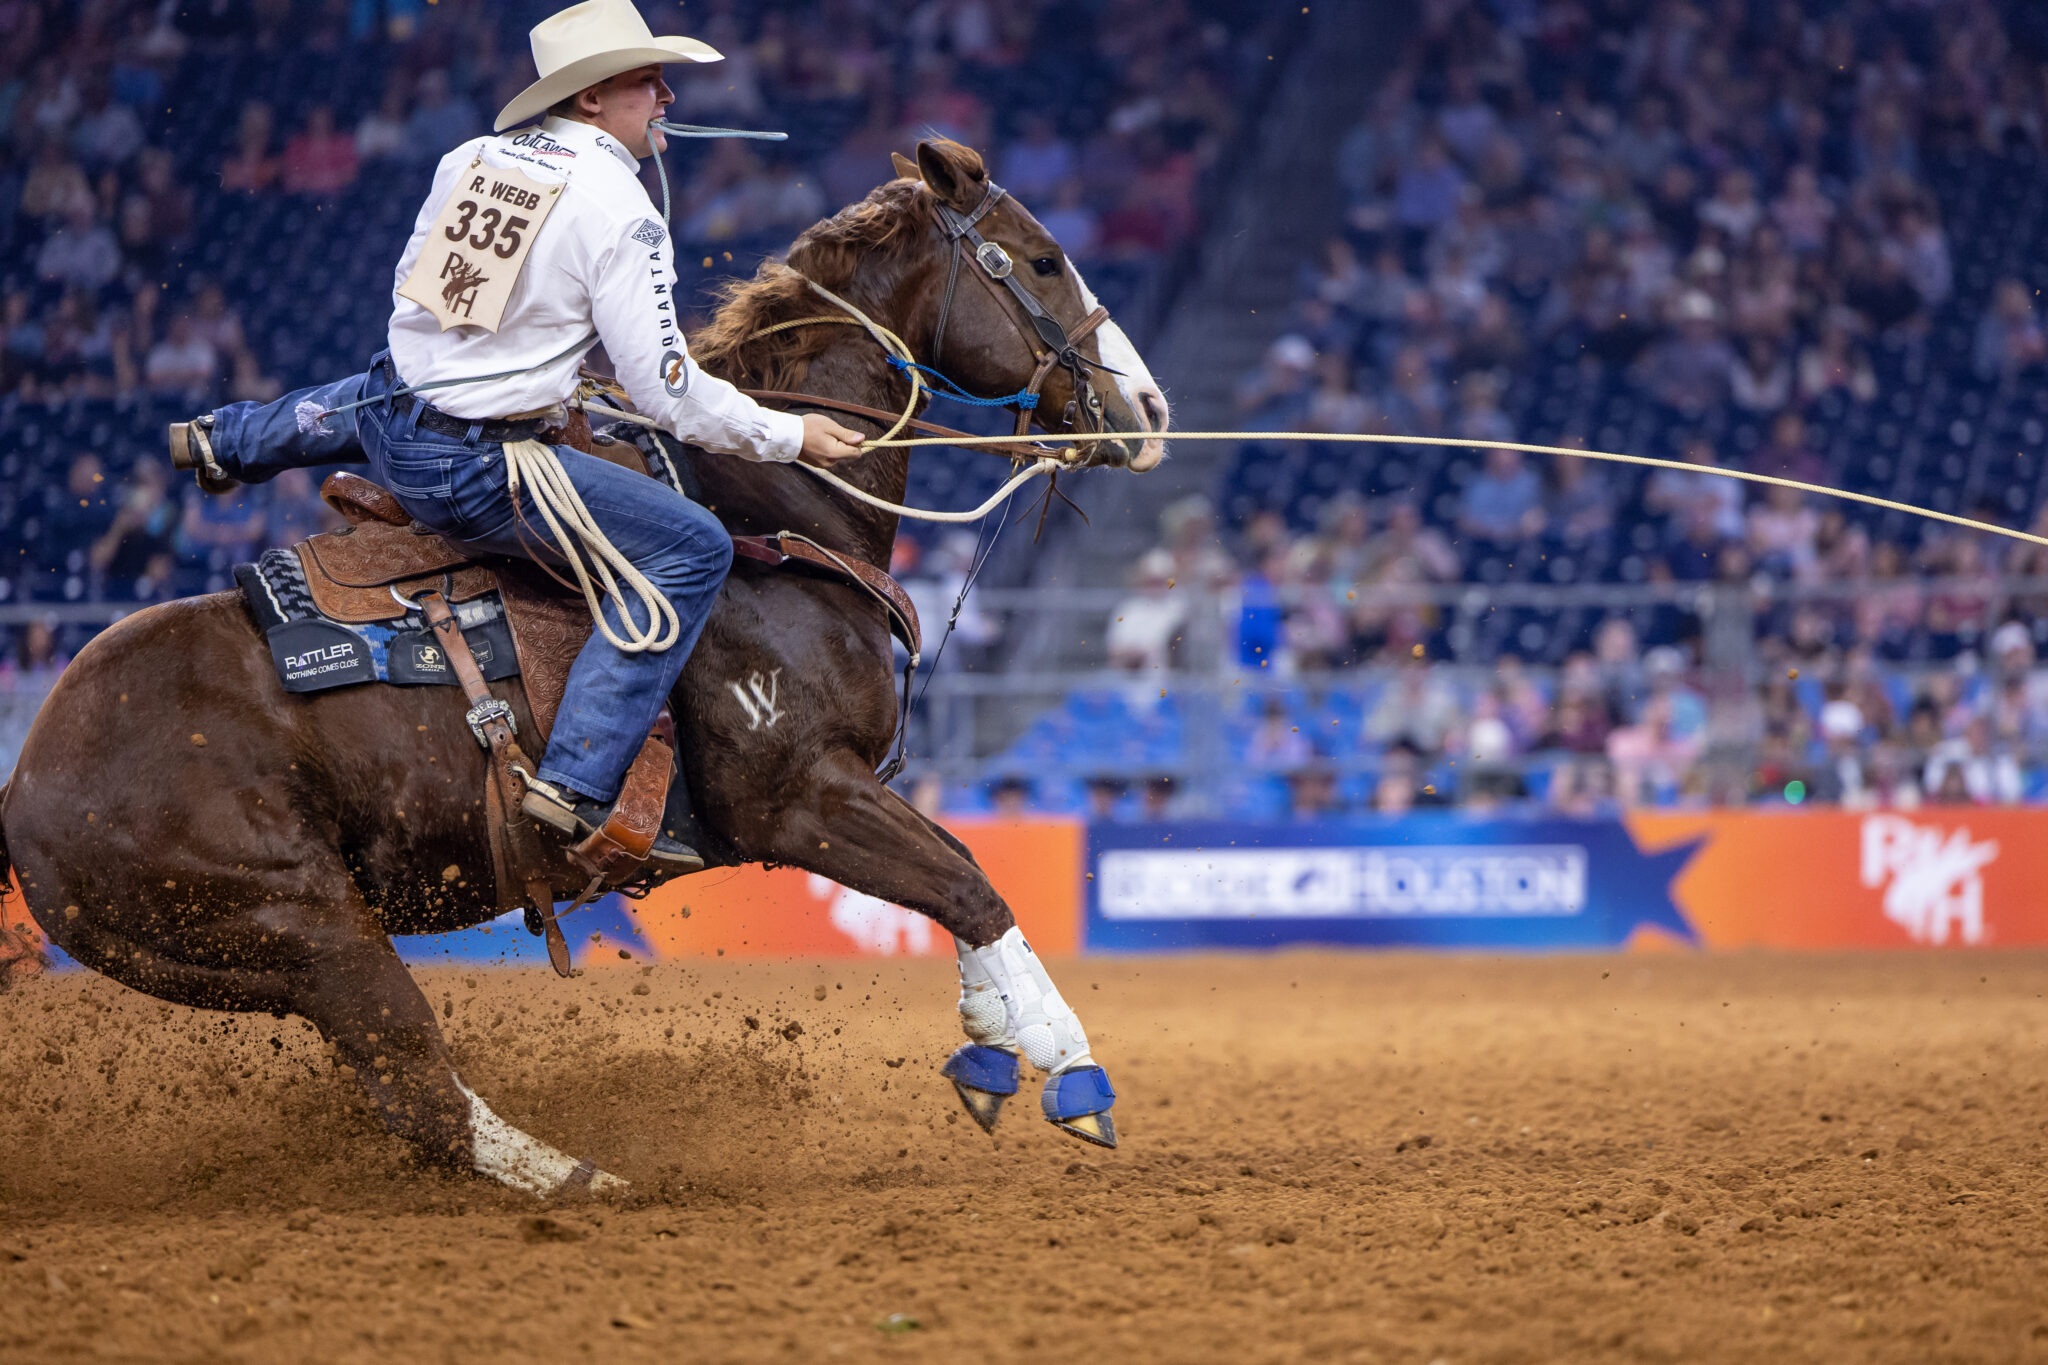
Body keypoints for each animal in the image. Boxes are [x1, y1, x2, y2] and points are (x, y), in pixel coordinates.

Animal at [0, 138, 1168, 1196]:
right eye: (1043, 259)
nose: (1149, 412)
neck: (770, 517)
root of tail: (26, 782)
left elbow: (959, 873)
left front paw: (990, 1041)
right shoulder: (795, 798)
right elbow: (967, 884)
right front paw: (1067, 1068)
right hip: (305, 925)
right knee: (420, 1087)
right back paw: (579, 1179)